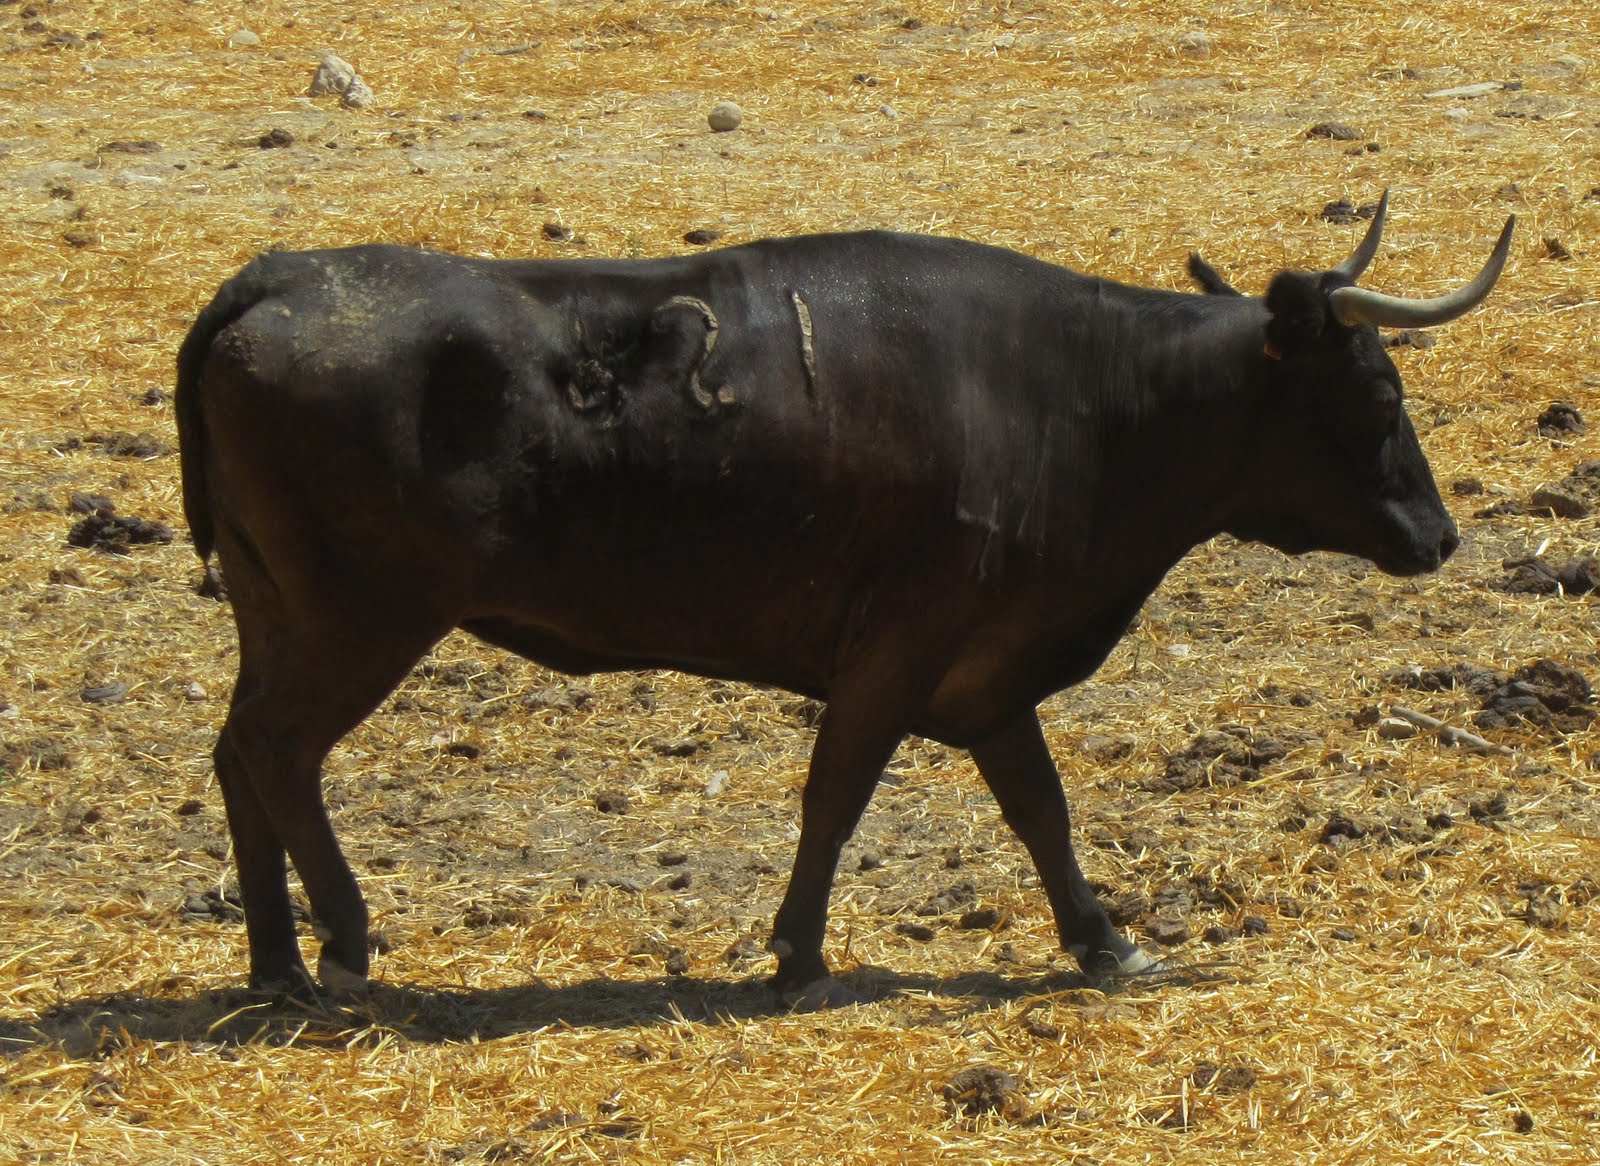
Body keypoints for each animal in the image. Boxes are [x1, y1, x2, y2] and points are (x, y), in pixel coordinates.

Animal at [175, 192, 1512, 1002]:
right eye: (1380, 393)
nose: (1439, 534)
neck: (1079, 397)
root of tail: (280, 275)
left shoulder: (985, 671)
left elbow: (1040, 809)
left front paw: (1103, 938)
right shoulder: (901, 648)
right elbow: (838, 795)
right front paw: (799, 952)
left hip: (279, 609)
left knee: (238, 754)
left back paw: (274, 960)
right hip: (362, 616)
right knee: (278, 751)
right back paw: (345, 941)